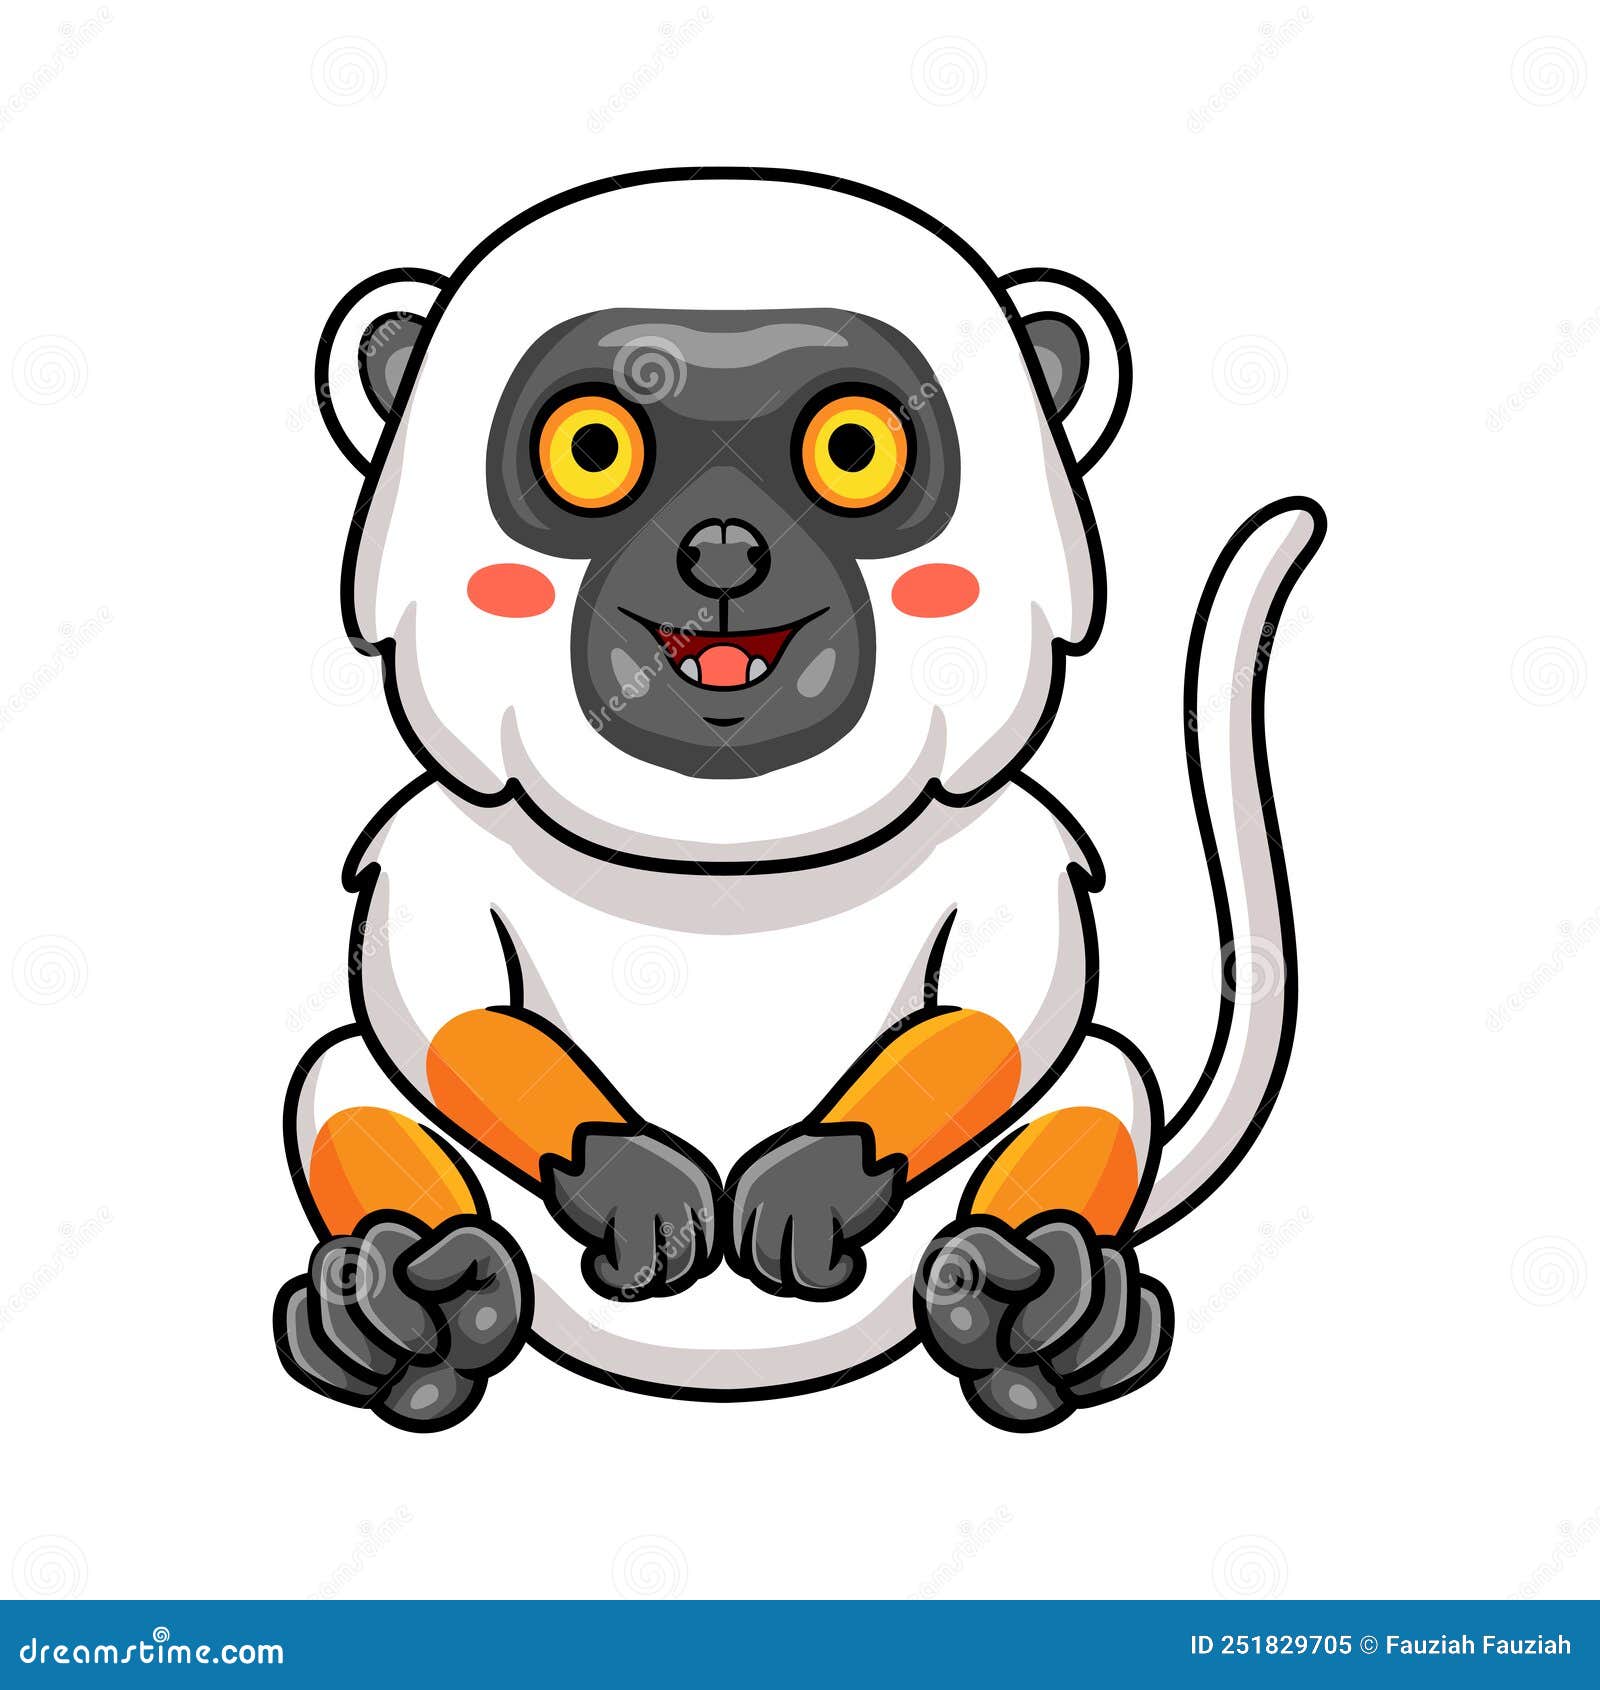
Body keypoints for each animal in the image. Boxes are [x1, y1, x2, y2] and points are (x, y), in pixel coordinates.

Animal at [272, 168, 1325, 1433]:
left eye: (854, 448)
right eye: (590, 448)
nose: (724, 548)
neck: (725, 859)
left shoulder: (1010, 841)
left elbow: (1005, 1010)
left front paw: (814, 1179)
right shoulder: (435, 842)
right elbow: (442, 1017)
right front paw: (632, 1179)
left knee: (1097, 1086)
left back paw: (1035, 1298)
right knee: (345, 1084)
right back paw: (411, 1299)